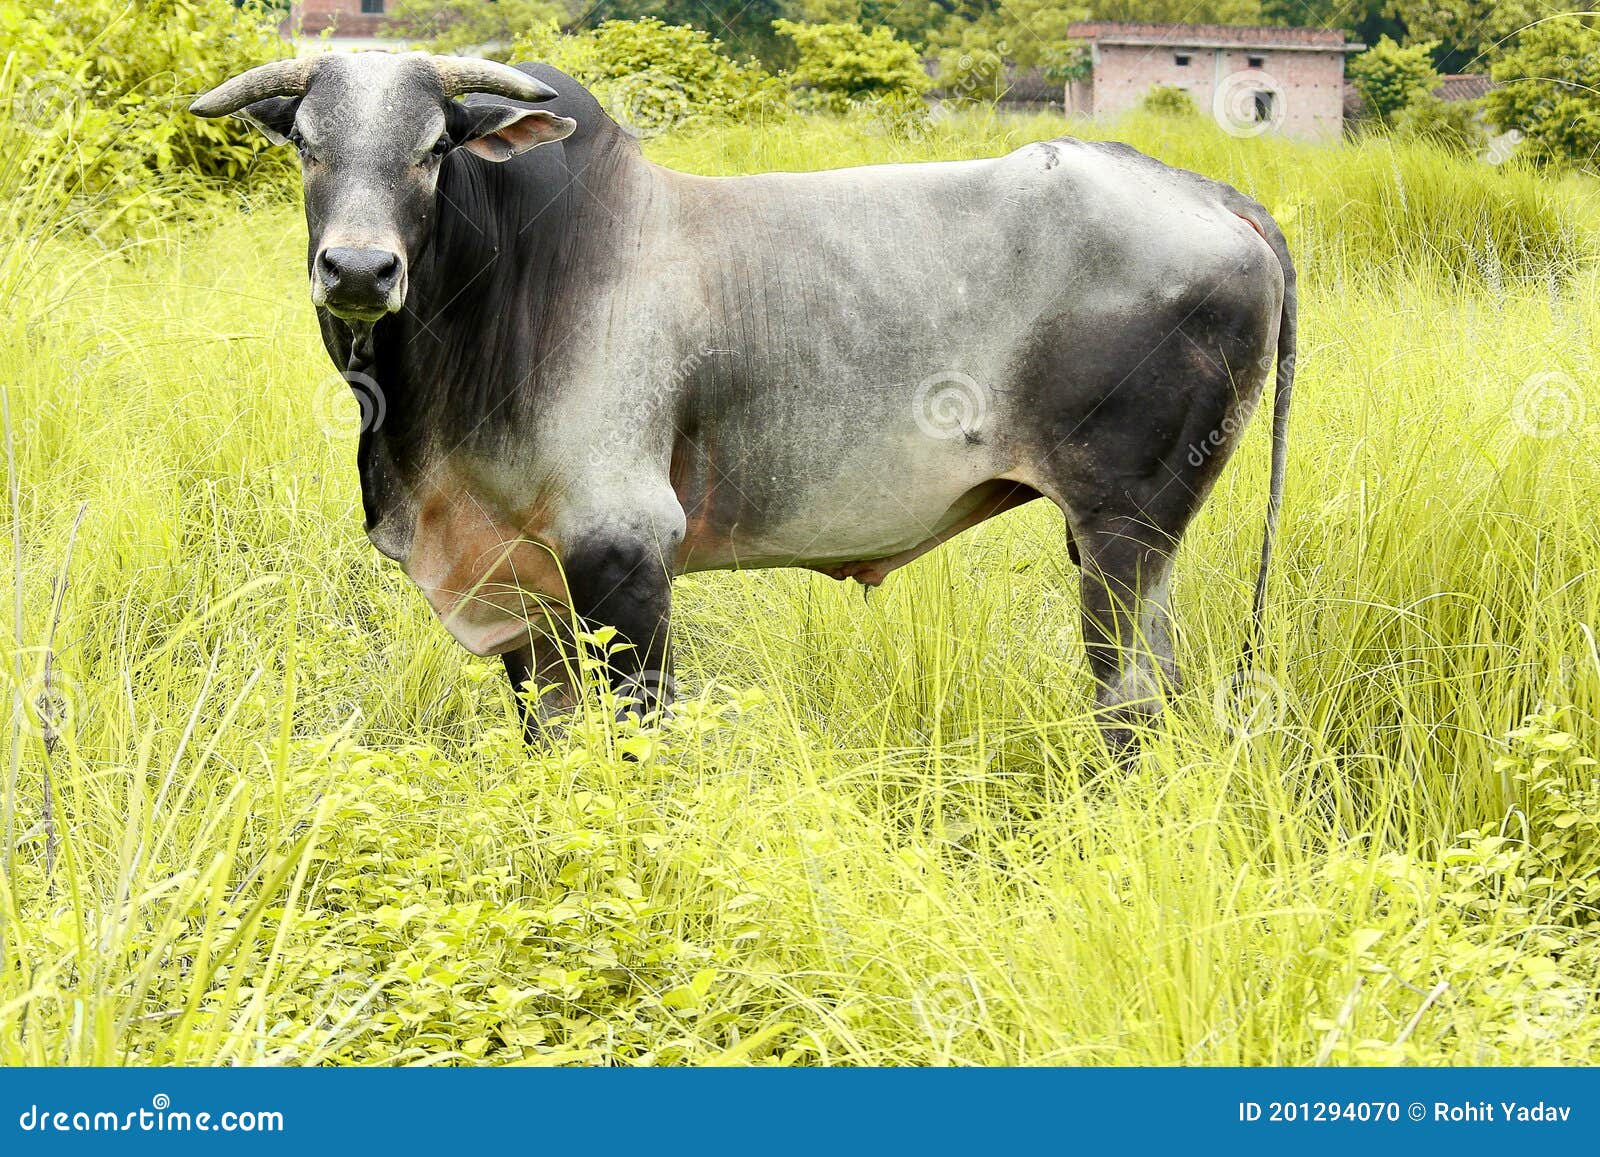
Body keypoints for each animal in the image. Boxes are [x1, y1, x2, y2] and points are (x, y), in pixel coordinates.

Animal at [190, 52, 1296, 753]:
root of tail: (1217, 197)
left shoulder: (626, 551)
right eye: (306, 145)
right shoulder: (526, 595)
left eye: (431, 147)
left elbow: (640, 740)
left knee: (1132, 700)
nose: (359, 269)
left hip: (1123, 530)